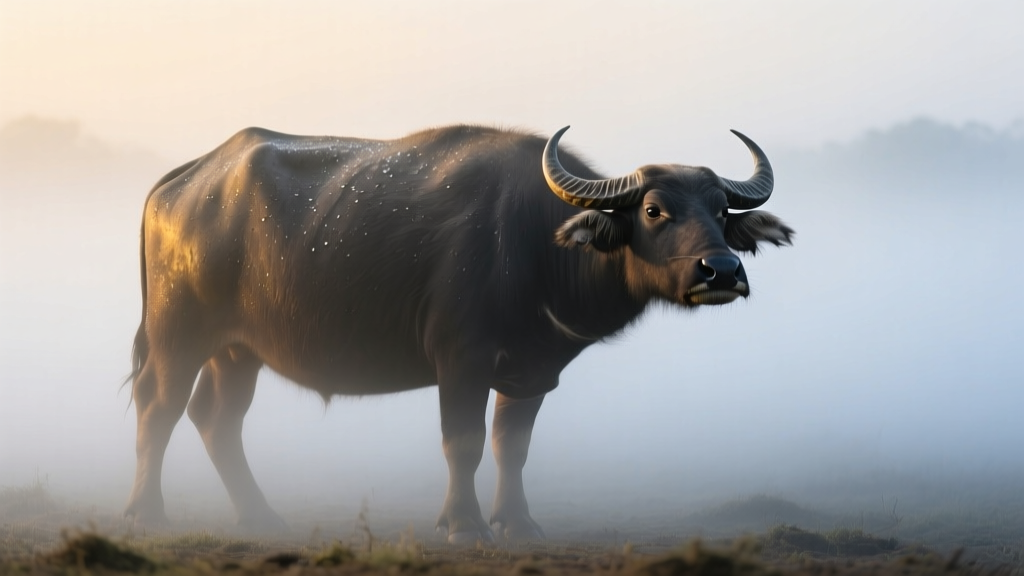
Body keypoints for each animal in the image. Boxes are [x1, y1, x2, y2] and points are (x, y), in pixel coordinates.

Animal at [124, 125, 793, 542]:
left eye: (723, 212)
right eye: (654, 210)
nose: (722, 270)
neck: (537, 245)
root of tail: (184, 180)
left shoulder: (531, 371)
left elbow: (511, 447)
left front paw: (518, 523)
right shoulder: (460, 360)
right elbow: (463, 443)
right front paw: (464, 525)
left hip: (238, 349)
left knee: (217, 419)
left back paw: (260, 517)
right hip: (179, 333)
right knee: (160, 408)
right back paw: (146, 514)